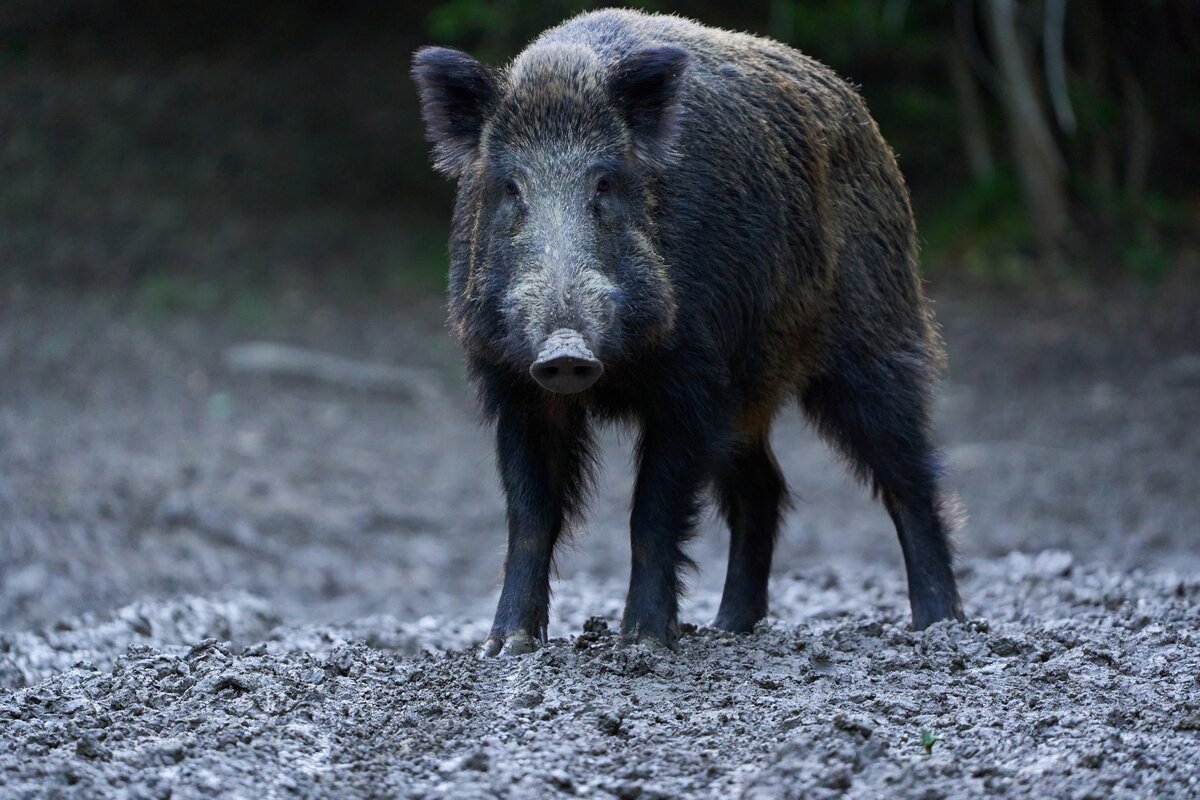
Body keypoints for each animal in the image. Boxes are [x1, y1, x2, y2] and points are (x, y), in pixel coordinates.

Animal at [412, 9, 964, 655]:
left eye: (605, 184)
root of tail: (865, 120)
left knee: (909, 474)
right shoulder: (515, 382)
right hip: (749, 396)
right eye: (511, 187)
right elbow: (530, 515)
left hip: (876, 335)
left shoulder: (695, 377)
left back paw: (939, 624)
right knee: (763, 488)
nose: (565, 349)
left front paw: (644, 641)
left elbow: (651, 510)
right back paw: (730, 627)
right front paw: (506, 645)